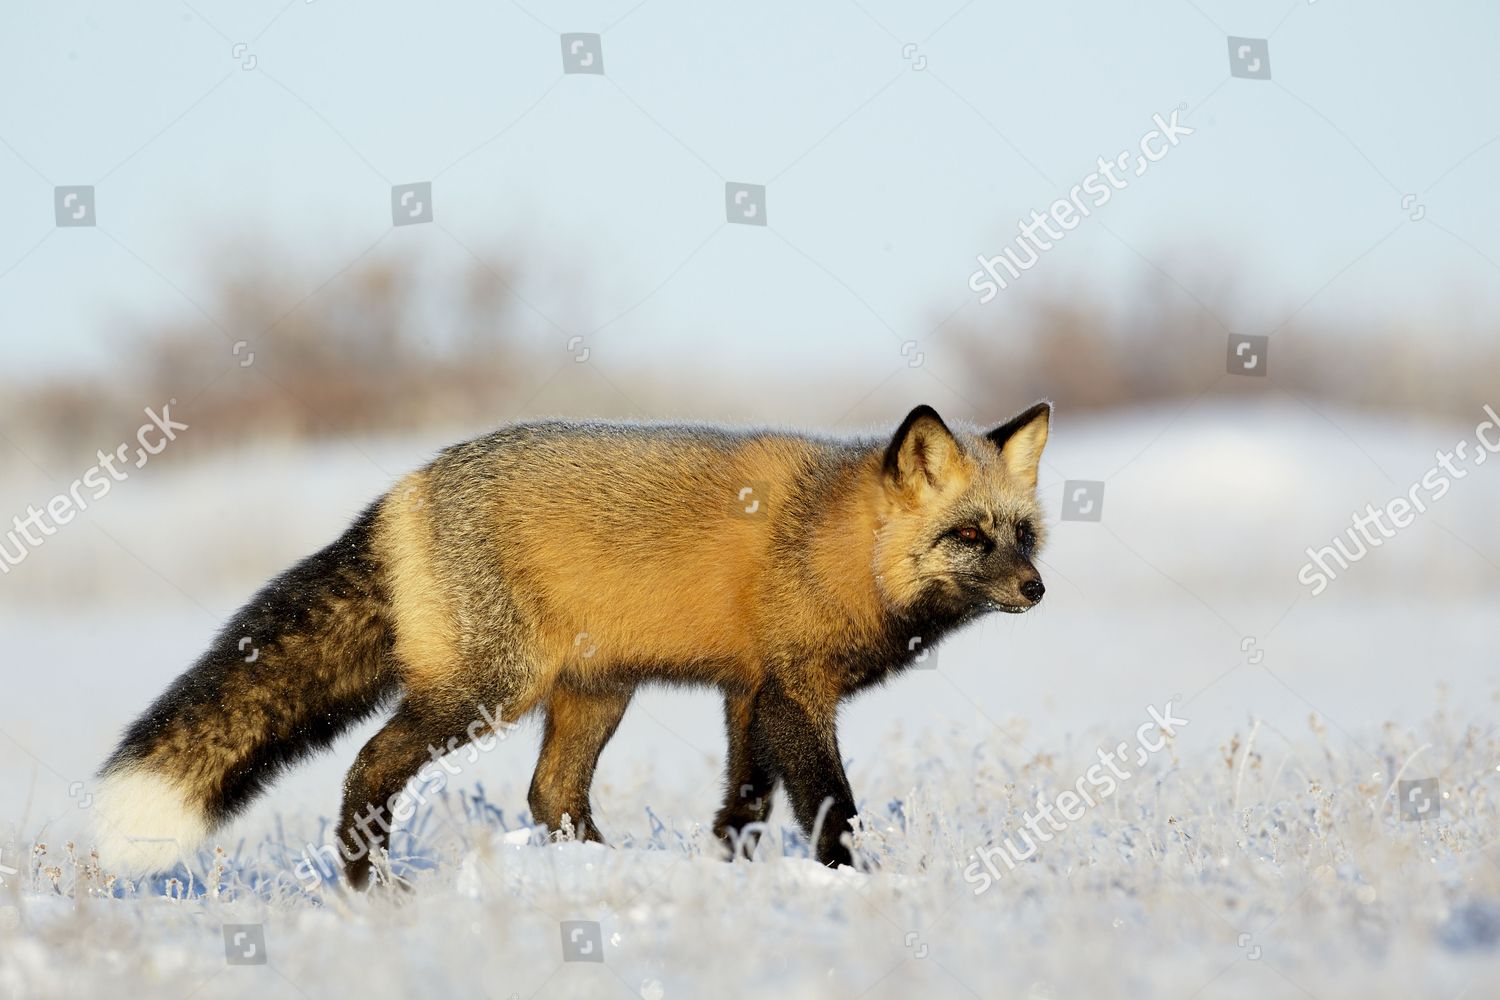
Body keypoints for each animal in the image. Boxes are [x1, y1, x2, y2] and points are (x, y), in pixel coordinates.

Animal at [94, 401, 1052, 886]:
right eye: (971, 537)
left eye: (1025, 535)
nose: (1037, 590)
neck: (836, 543)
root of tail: (406, 488)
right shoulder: (794, 693)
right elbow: (830, 806)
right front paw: (853, 885)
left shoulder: (748, 691)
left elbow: (742, 806)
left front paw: (726, 881)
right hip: (489, 692)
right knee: (370, 765)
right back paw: (372, 886)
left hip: (593, 693)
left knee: (549, 795)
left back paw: (602, 874)